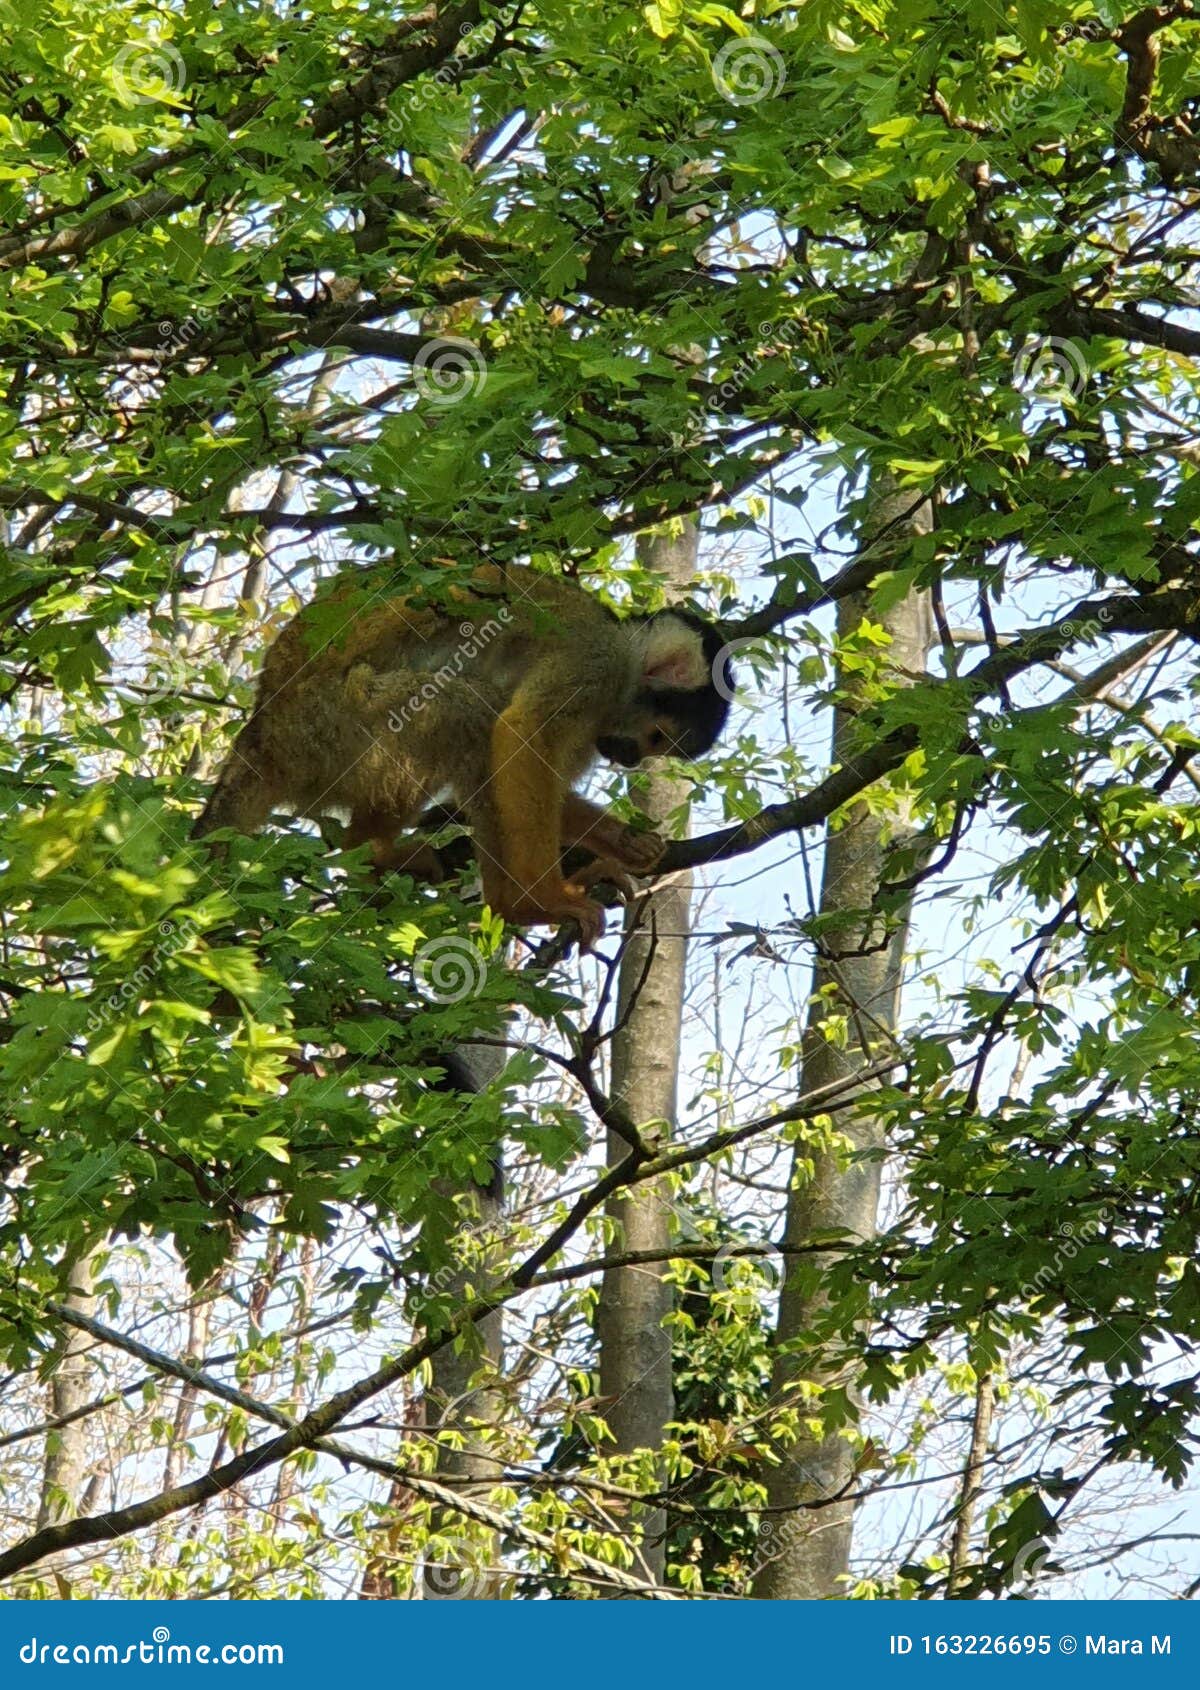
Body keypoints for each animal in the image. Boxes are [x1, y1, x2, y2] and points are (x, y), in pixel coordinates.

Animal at [192, 562, 734, 948]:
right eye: (659, 737)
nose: (632, 762)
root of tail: (258, 735)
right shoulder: (595, 664)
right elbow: (521, 735)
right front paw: (548, 895)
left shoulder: (594, 726)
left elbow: (532, 769)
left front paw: (624, 842)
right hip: (327, 724)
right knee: (470, 711)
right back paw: (505, 900)